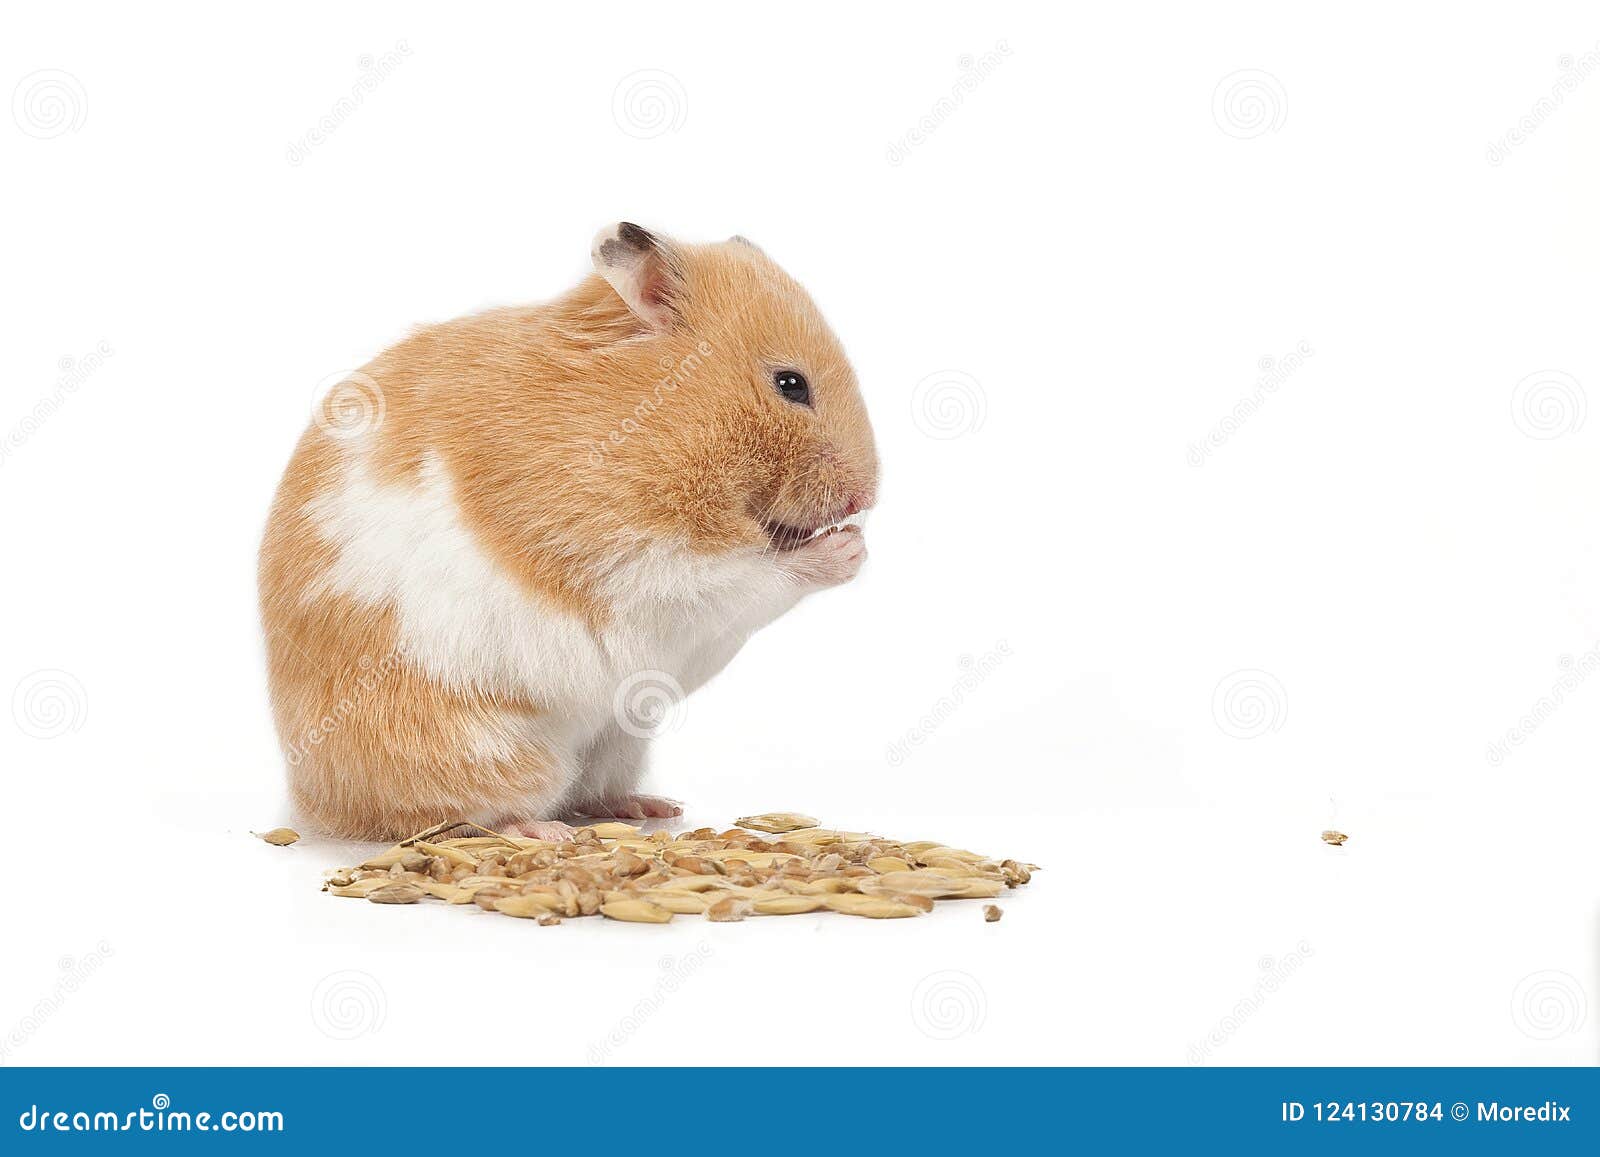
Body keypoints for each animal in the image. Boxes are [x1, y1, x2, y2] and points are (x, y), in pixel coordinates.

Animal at [258, 224, 879, 840]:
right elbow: (754, 576)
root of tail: (312, 800)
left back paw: (650, 807)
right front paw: (849, 547)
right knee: (464, 816)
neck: (656, 422)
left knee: (591, 789)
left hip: (619, 741)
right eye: (790, 384)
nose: (865, 498)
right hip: (479, 746)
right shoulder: (643, 565)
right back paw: (543, 832)